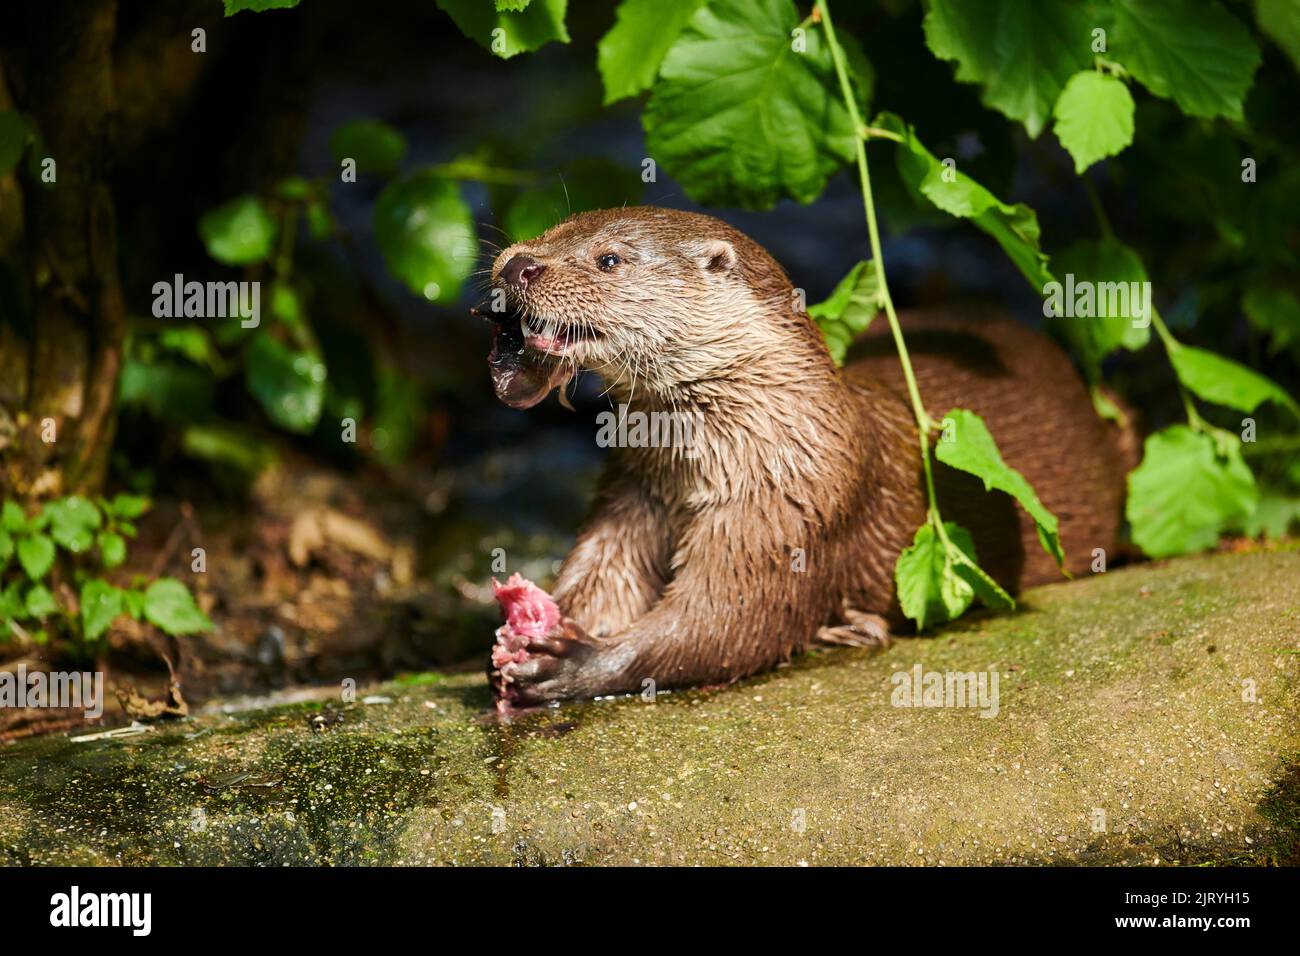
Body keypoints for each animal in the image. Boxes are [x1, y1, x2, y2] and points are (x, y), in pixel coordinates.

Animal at [484, 206, 1135, 705]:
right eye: (552, 227)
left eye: (609, 260)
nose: (517, 264)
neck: (773, 434)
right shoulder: (631, 495)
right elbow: (603, 576)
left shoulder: (788, 512)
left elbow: (723, 623)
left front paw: (573, 660)